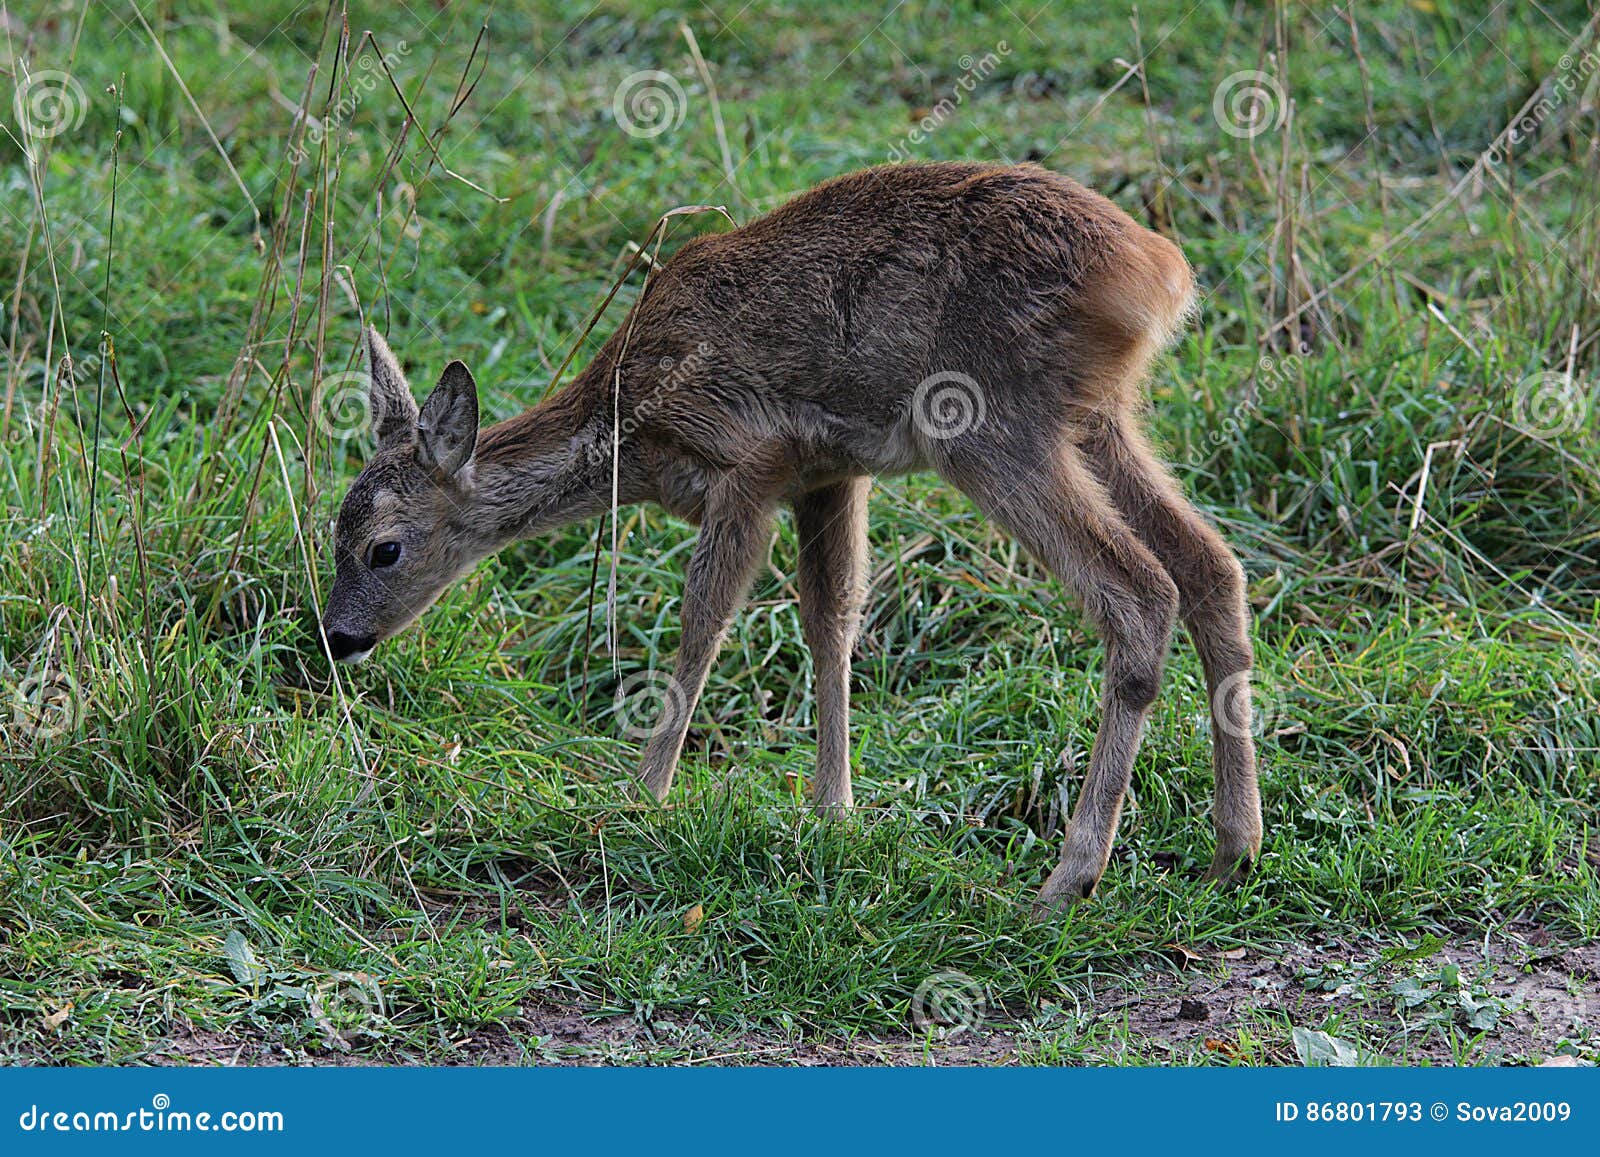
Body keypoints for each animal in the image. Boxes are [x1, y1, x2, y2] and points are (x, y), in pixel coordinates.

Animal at [319, 161, 1262, 913]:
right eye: (336, 526)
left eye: (383, 548)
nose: (337, 636)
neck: (629, 428)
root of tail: (1159, 272)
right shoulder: (826, 475)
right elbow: (831, 622)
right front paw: (833, 811)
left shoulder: (749, 463)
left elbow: (703, 624)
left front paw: (642, 796)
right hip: (1098, 416)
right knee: (1211, 566)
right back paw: (1234, 850)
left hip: (991, 422)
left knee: (1139, 593)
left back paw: (1070, 878)